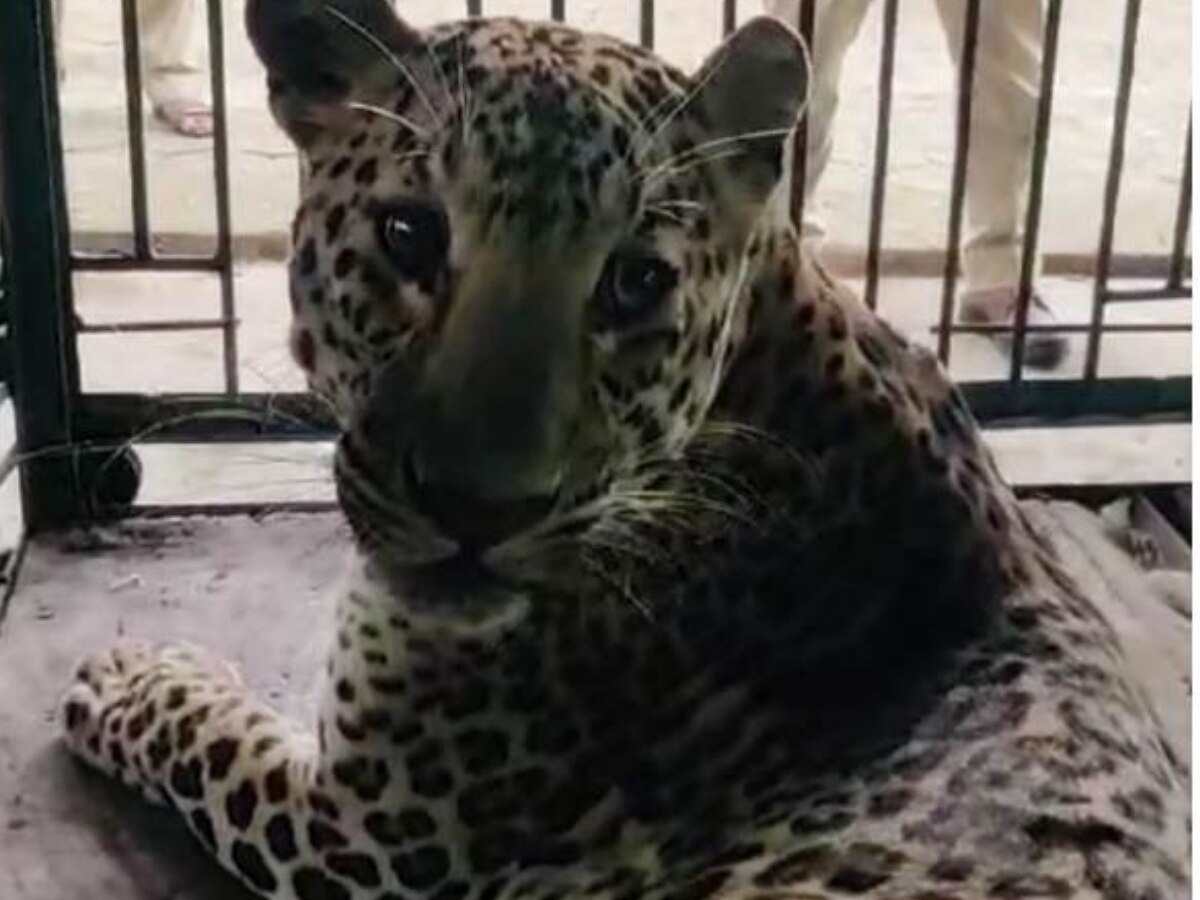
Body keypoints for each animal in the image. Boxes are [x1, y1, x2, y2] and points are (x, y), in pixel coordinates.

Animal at [60, 1, 1189, 898]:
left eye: (636, 283)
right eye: (408, 235)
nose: (478, 510)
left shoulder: (376, 835)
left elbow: (211, 737)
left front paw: (128, 675)